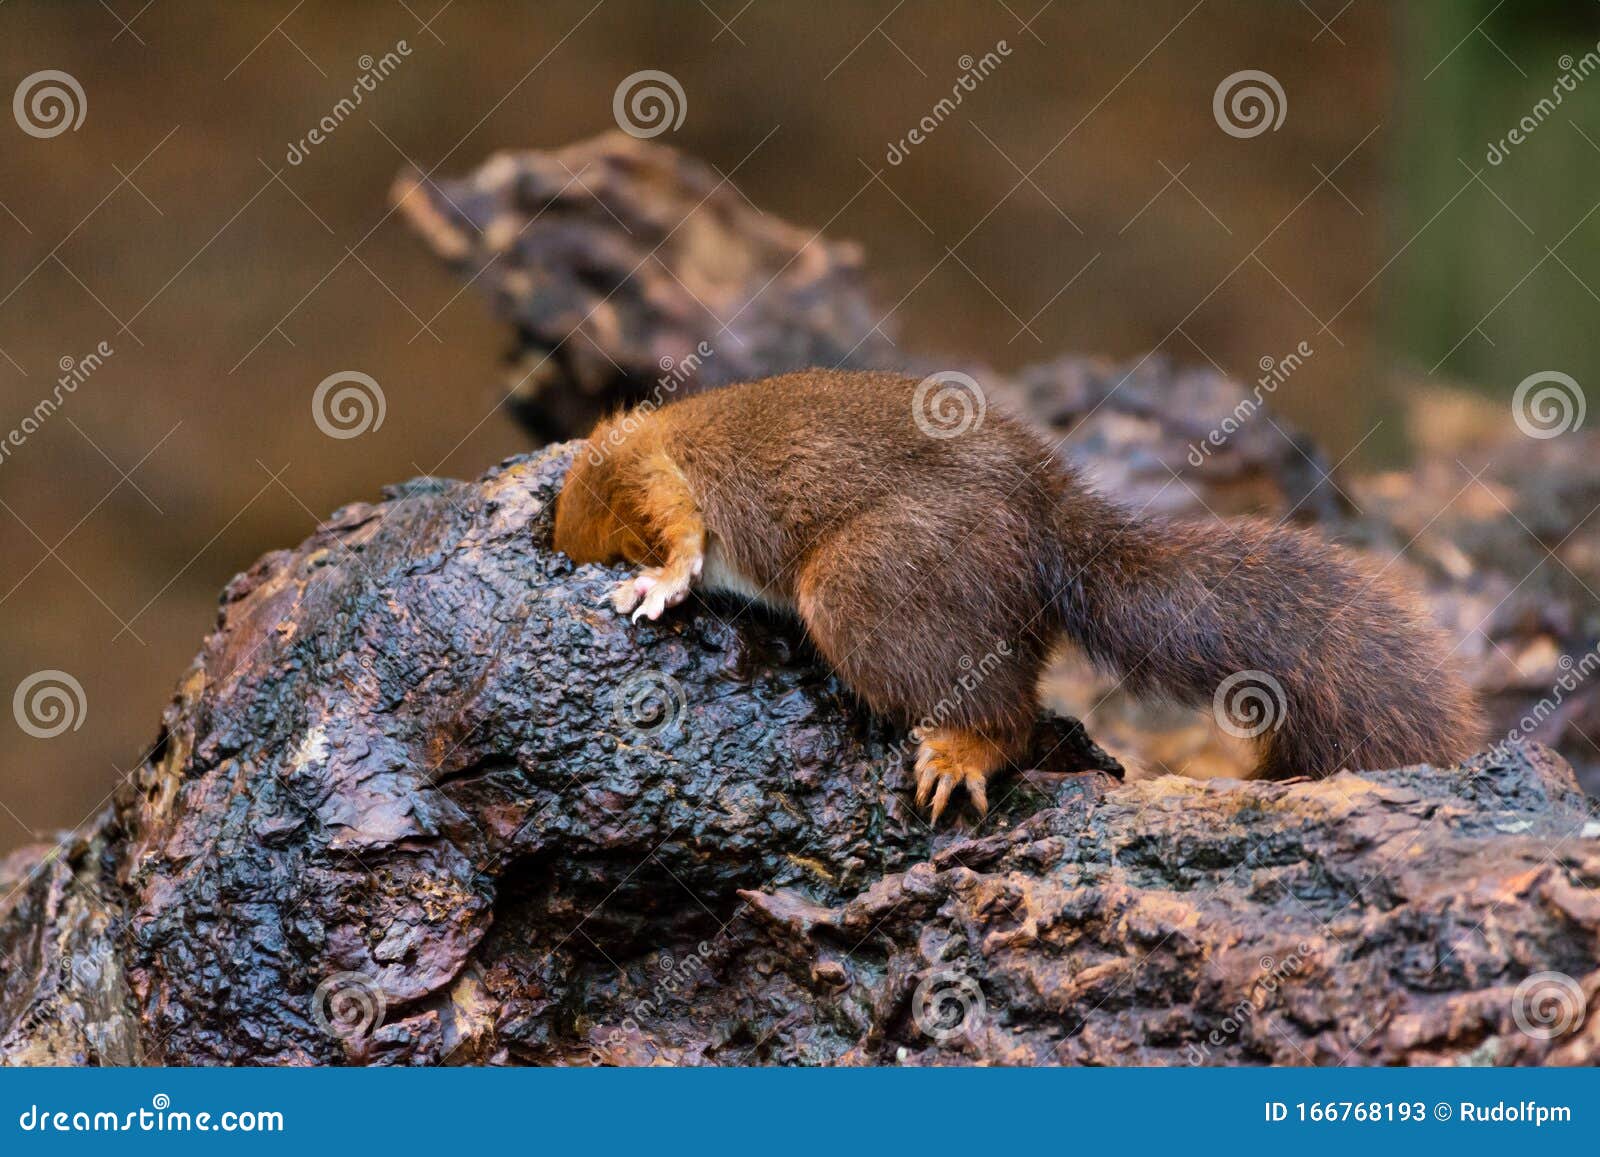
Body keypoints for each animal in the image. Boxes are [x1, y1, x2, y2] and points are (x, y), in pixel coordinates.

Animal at [553, 369, 1481, 821]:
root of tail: (1047, 534)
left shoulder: (644, 468)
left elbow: (680, 526)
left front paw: (656, 582)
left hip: (864, 583)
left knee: (1008, 716)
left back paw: (959, 754)